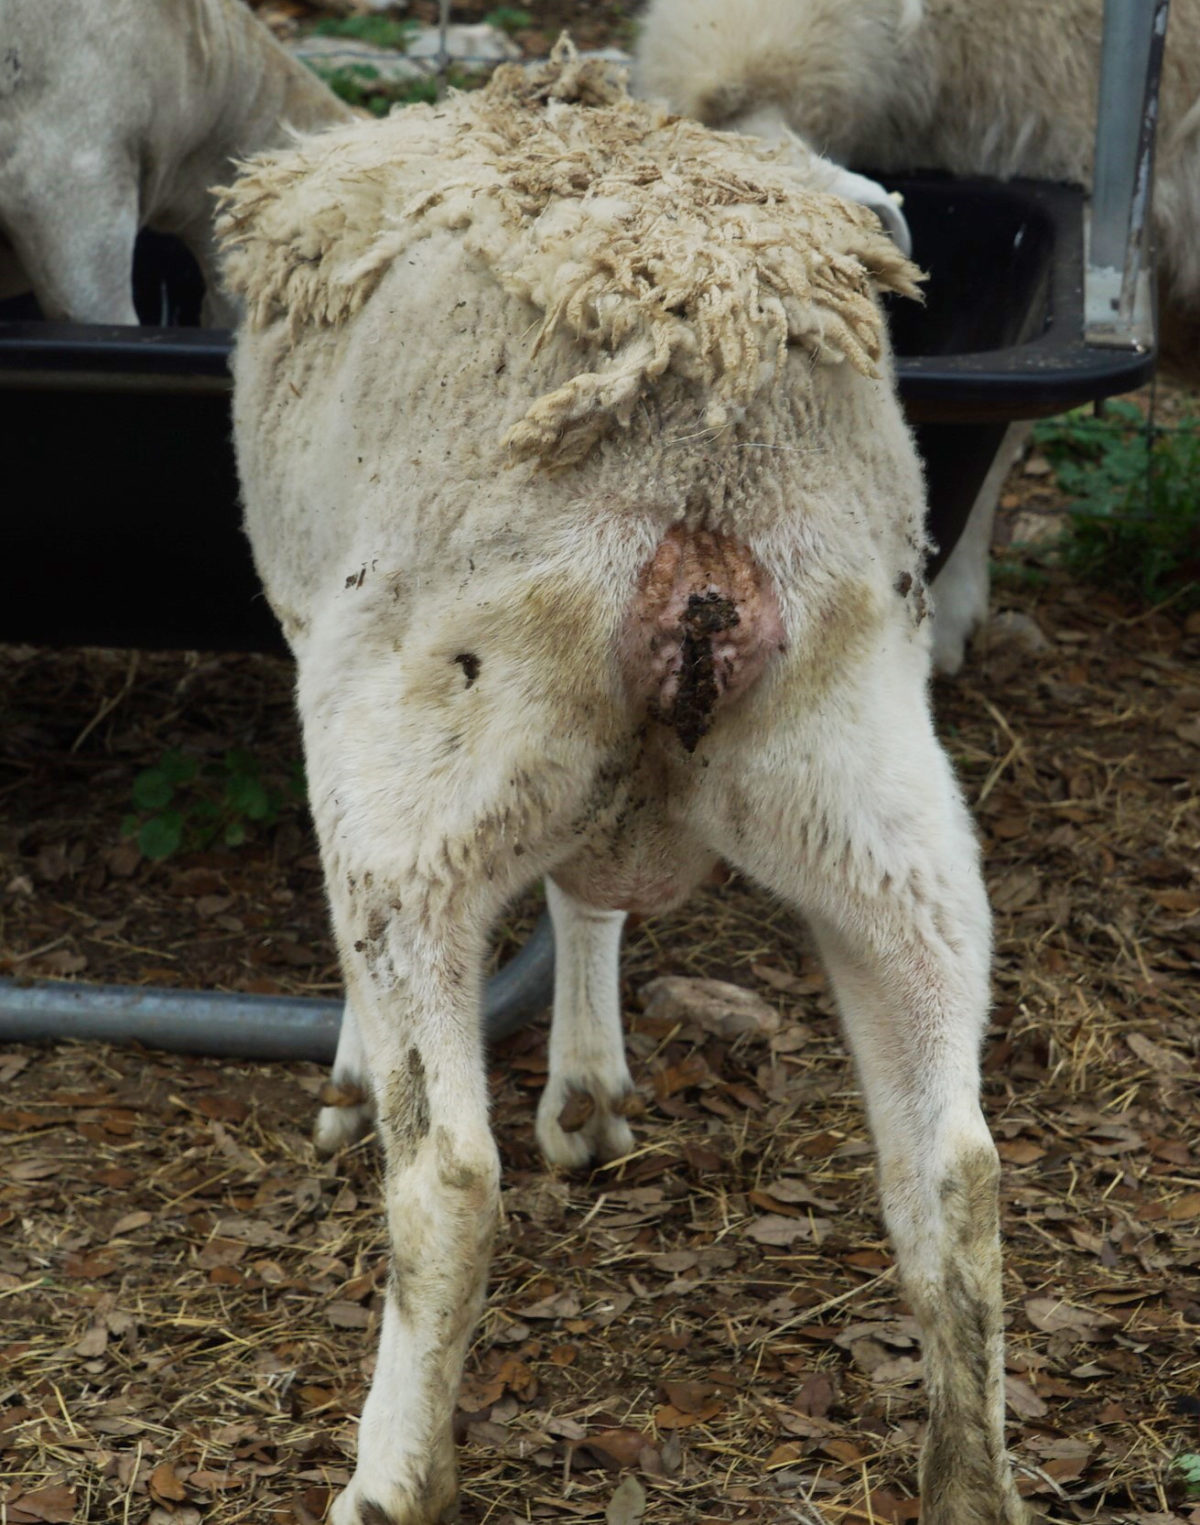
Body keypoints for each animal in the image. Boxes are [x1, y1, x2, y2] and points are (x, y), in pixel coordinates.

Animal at [219, 45, 1026, 1525]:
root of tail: (706, 468)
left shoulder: (329, 683)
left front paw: (360, 1075)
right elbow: (587, 898)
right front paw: (590, 1089)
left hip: (423, 765)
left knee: (448, 1174)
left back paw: (390, 1474)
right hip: (874, 785)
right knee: (952, 1160)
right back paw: (968, 1479)